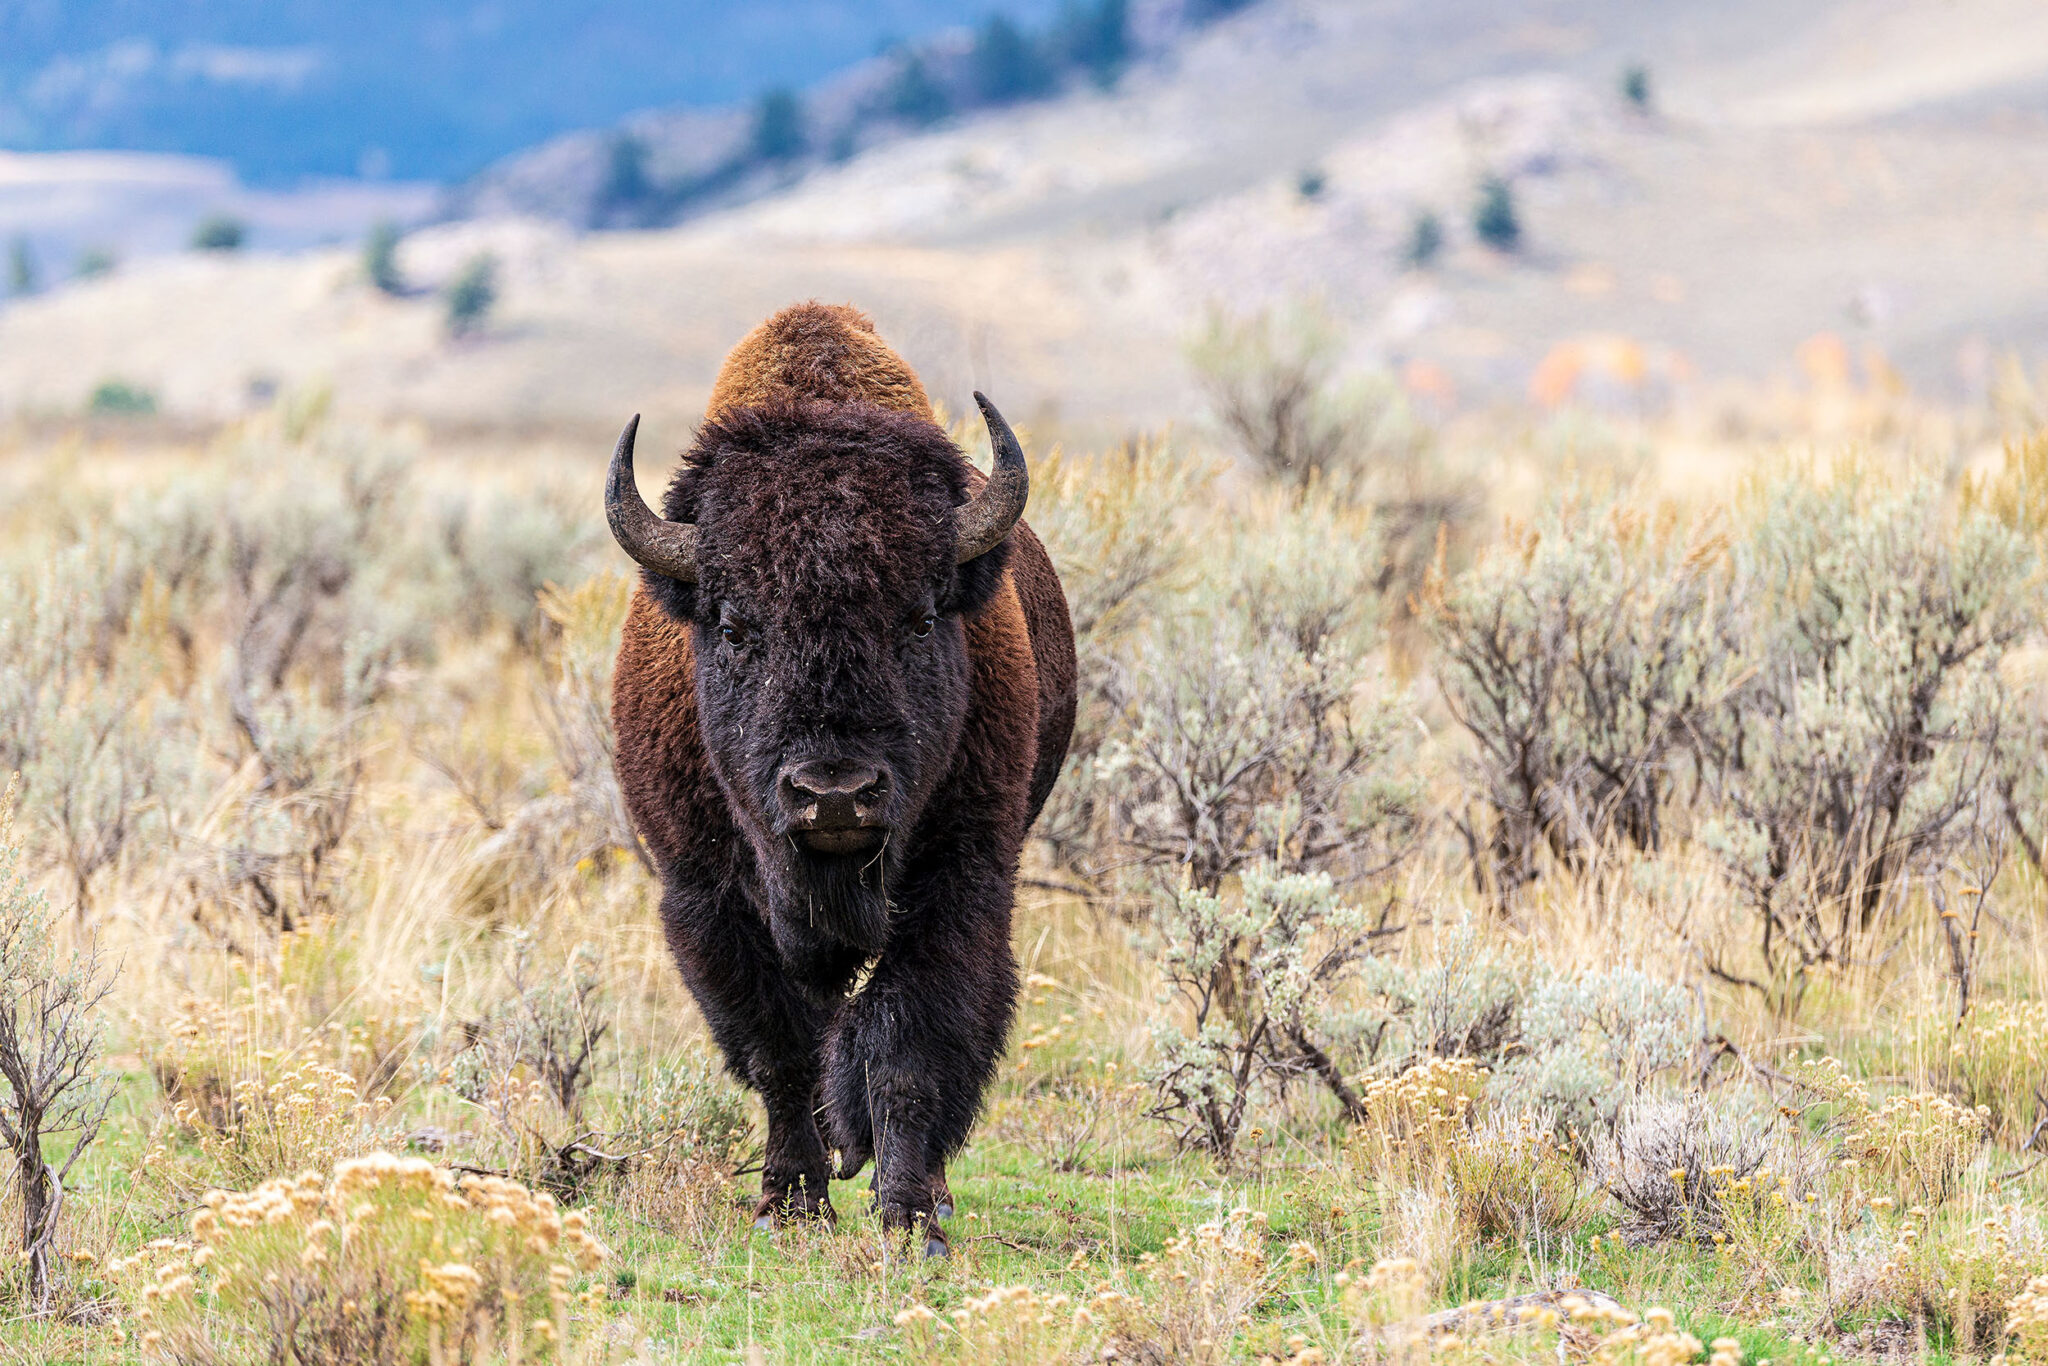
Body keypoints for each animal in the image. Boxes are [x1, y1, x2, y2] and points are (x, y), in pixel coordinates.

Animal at [606, 303, 1076, 1255]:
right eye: (736, 626)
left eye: (921, 618)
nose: (833, 795)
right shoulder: (705, 901)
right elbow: (779, 1046)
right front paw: (790, 1198)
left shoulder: (960, 884)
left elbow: (908, 1039)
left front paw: (909, 1217)